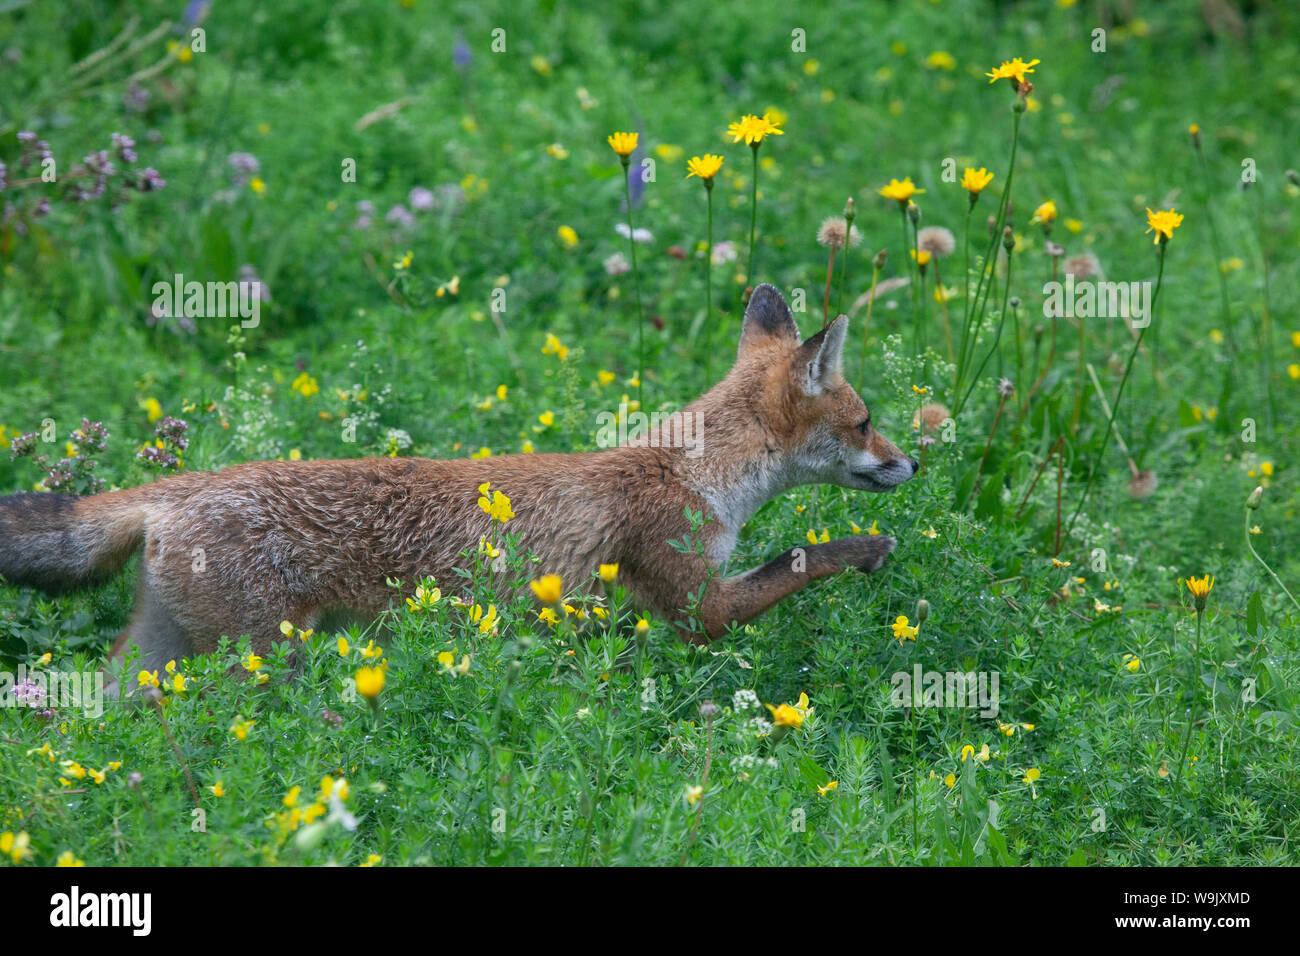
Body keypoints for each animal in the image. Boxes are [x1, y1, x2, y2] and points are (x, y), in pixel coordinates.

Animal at [0, 285, 917, 687]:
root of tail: (176, 490)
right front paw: (870, 548)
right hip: (263, 661)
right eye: (867, 420)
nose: (915, 464)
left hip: (160, 655)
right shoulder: (698, 607)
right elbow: (801, 555)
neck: (699, 473)